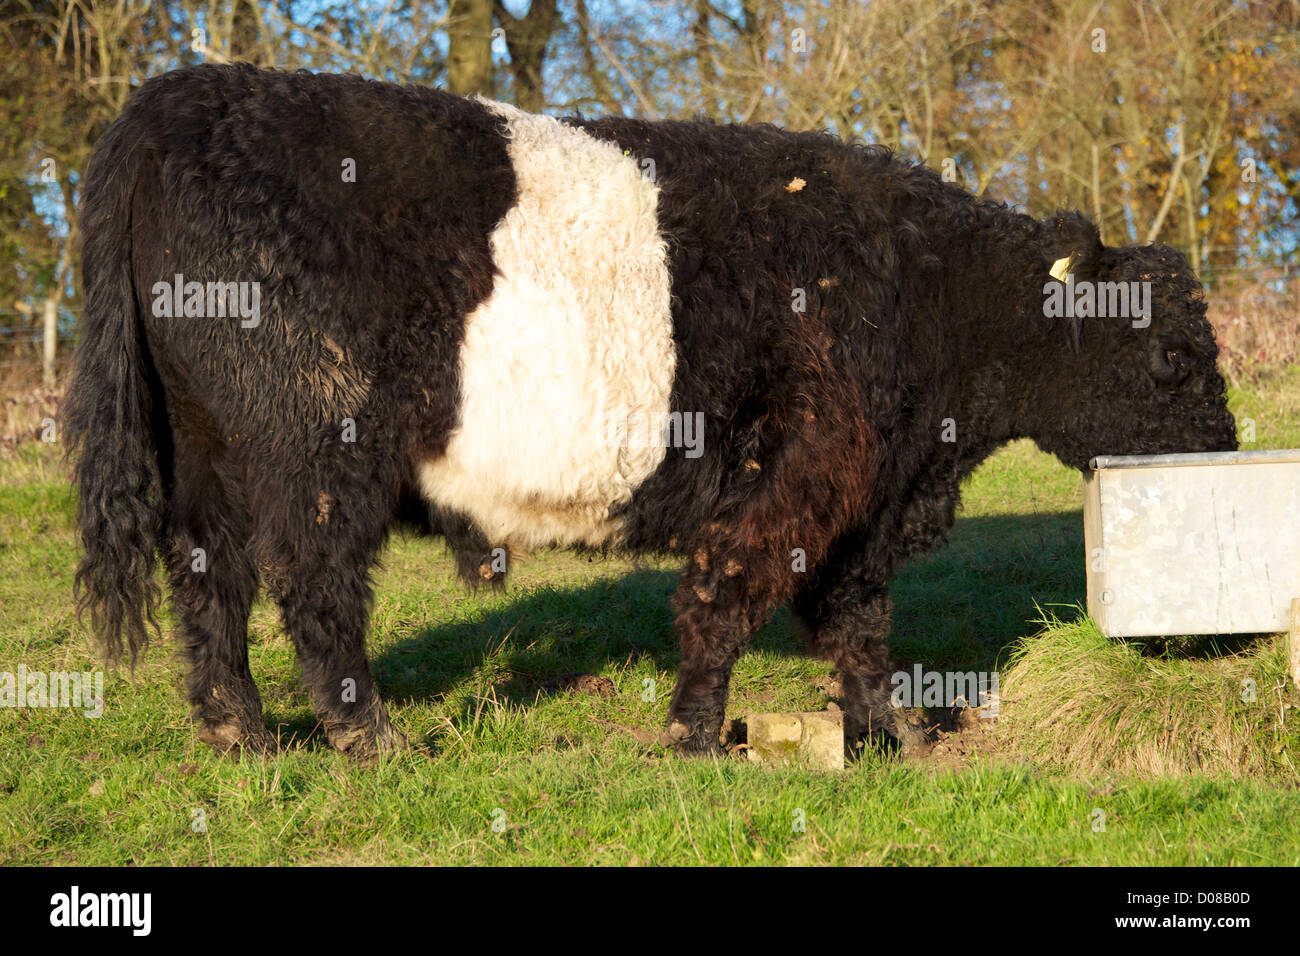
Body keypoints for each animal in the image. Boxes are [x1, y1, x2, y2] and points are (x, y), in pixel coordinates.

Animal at [65, 64, 1237, 758]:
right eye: (1174, 358)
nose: (1225, 452)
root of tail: (188, 96)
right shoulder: (808, 469)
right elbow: (724, 596)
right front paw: (694, 736)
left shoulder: (862, 499)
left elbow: (856, 619)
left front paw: (888, 733)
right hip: (317, 444)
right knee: (313, 587)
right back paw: (374, 741)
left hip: (208, 456)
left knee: (208, 578)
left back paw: (244, 737)